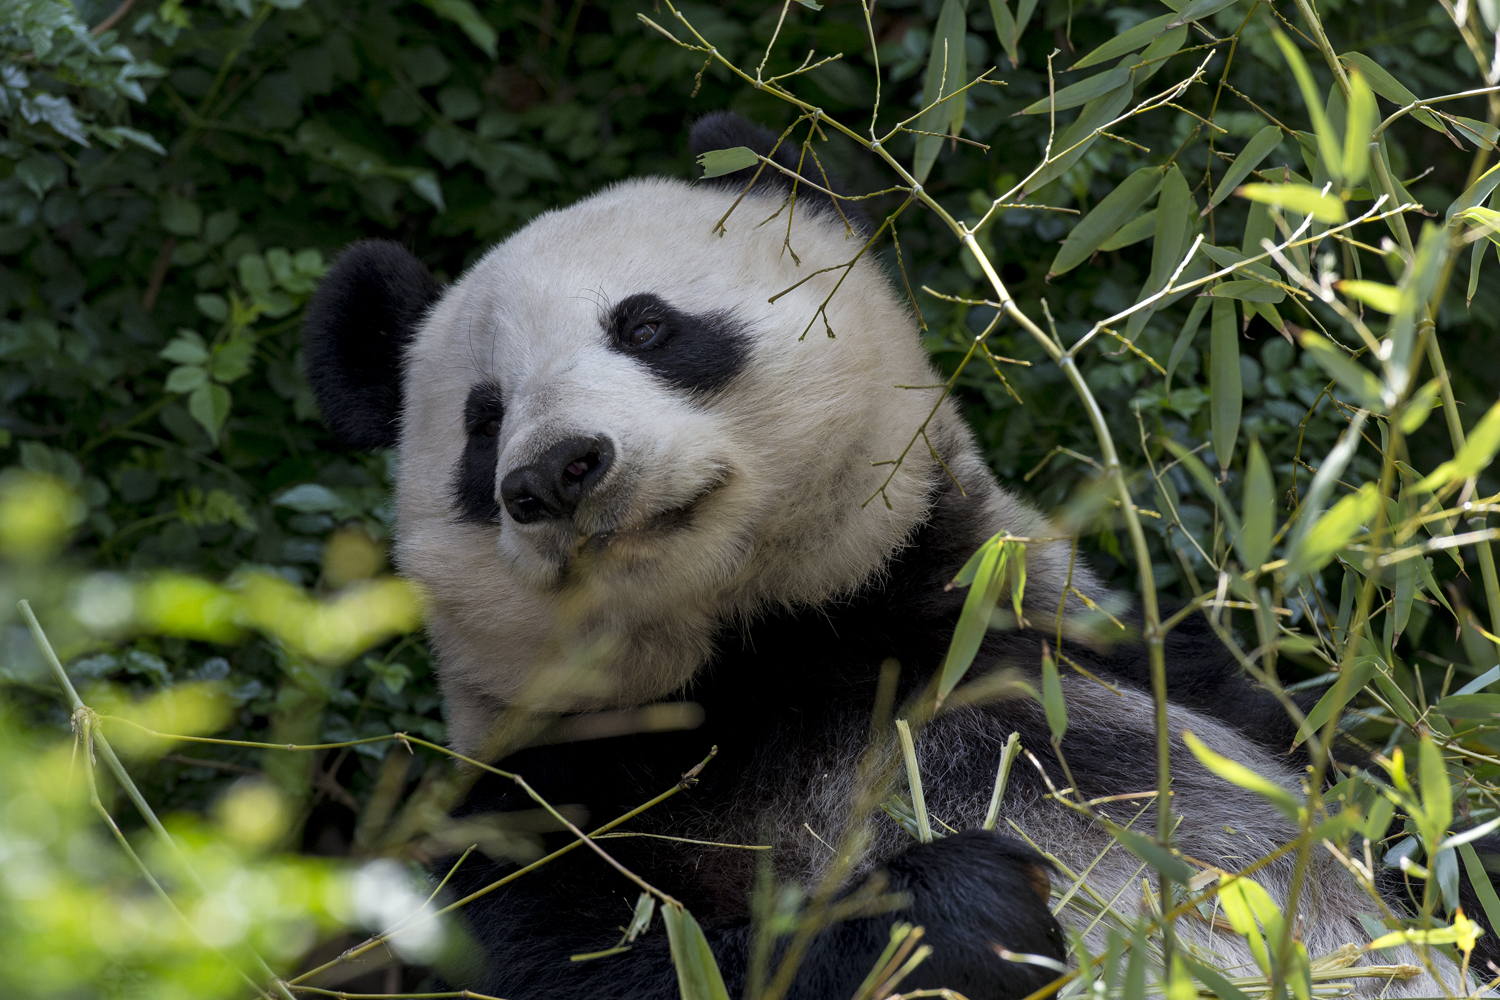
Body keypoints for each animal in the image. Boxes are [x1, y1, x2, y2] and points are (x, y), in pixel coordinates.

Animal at [304, 112, 1483, 999]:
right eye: (482, 421)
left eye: (644, 325)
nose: (555, 471)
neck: (765, 647)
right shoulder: (552, 806)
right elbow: (636, 966)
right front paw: (964, 909)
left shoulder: (1065, 635)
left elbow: (1375, 797)